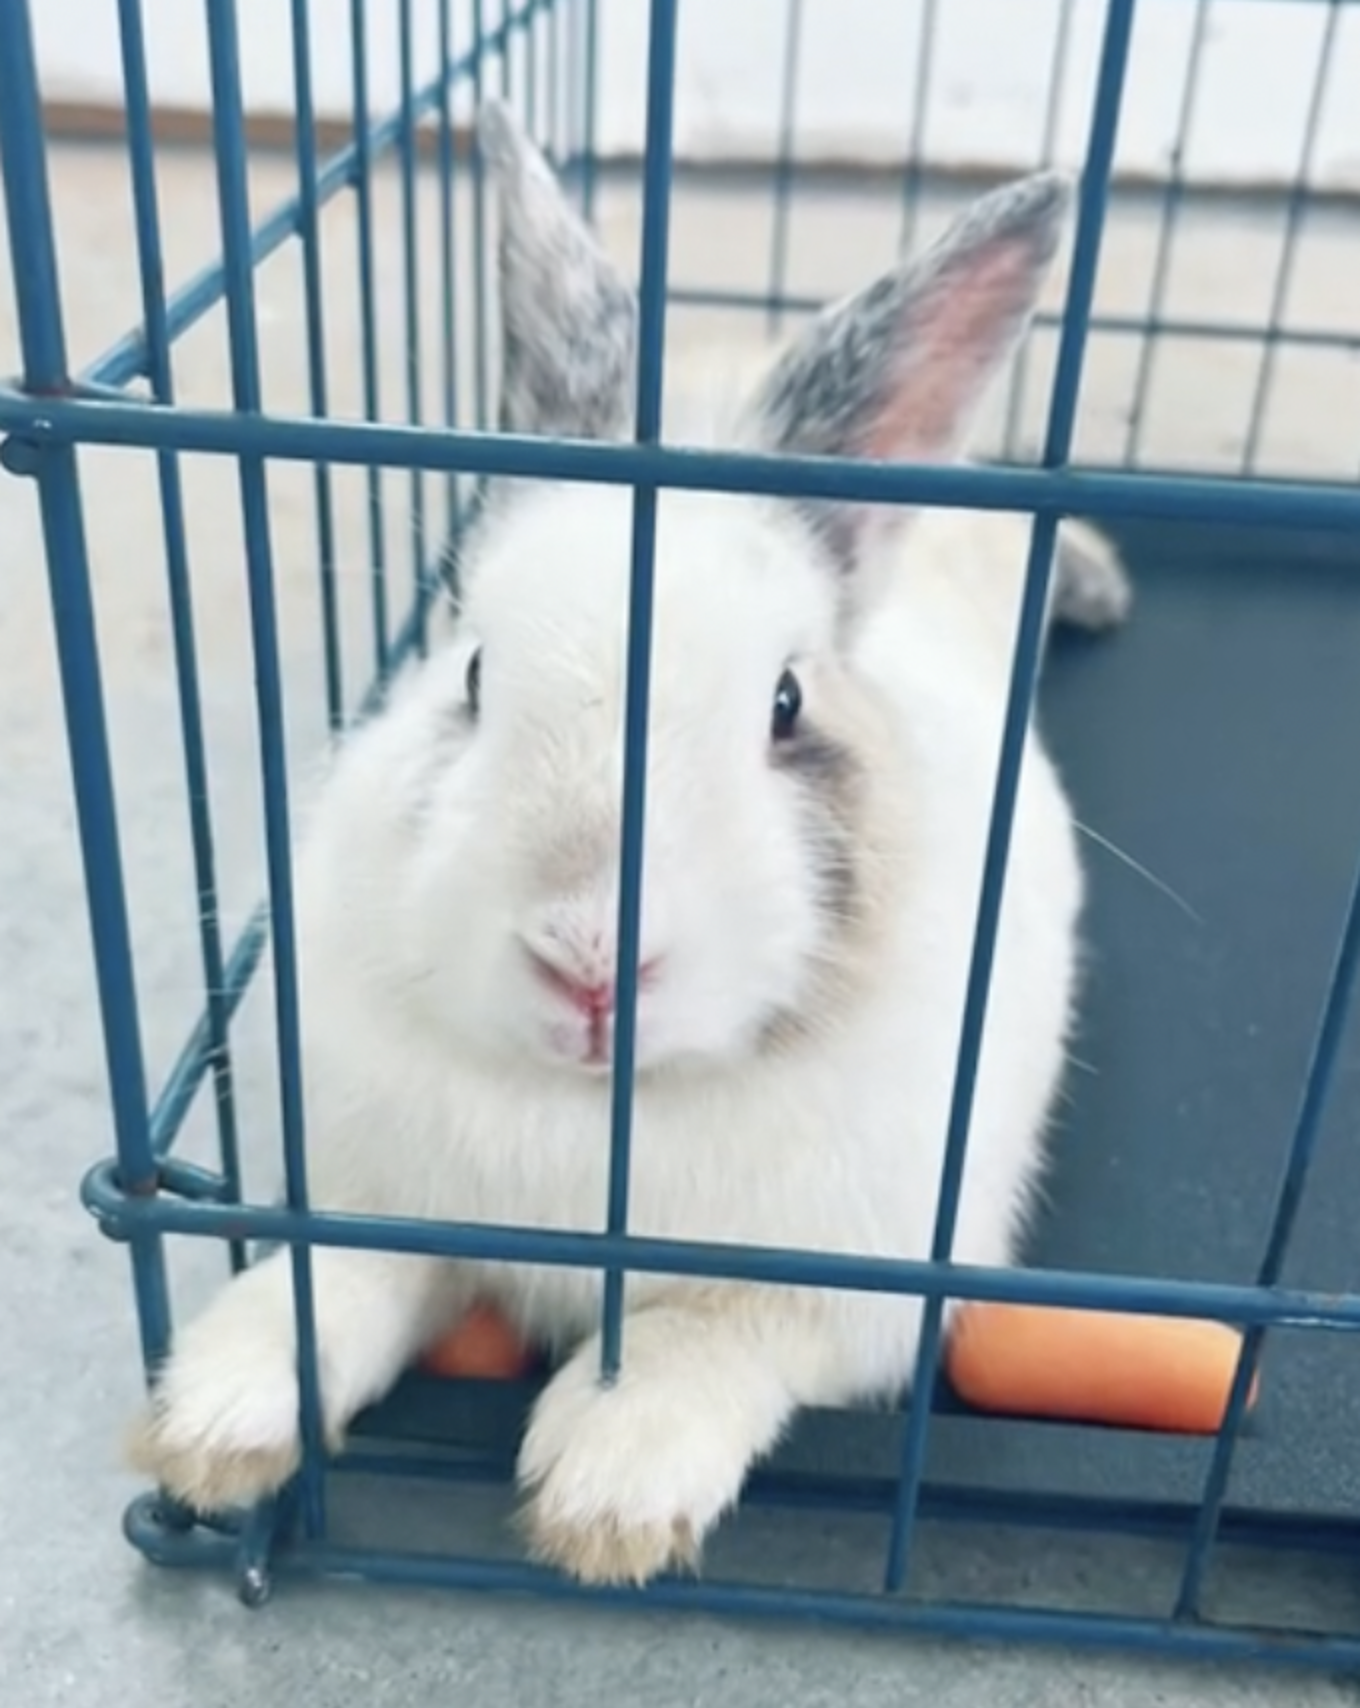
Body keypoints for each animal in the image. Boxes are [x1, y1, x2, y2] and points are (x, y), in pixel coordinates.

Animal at [126, 101, 1131, 1587]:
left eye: (786, 704)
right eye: (471, 669)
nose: (590, 958)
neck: (595, 1126)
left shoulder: (843, 1295)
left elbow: (703, 1335)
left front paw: (610, 1494)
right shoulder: (378, 1198)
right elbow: (338, 1277)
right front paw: (212, 1416)